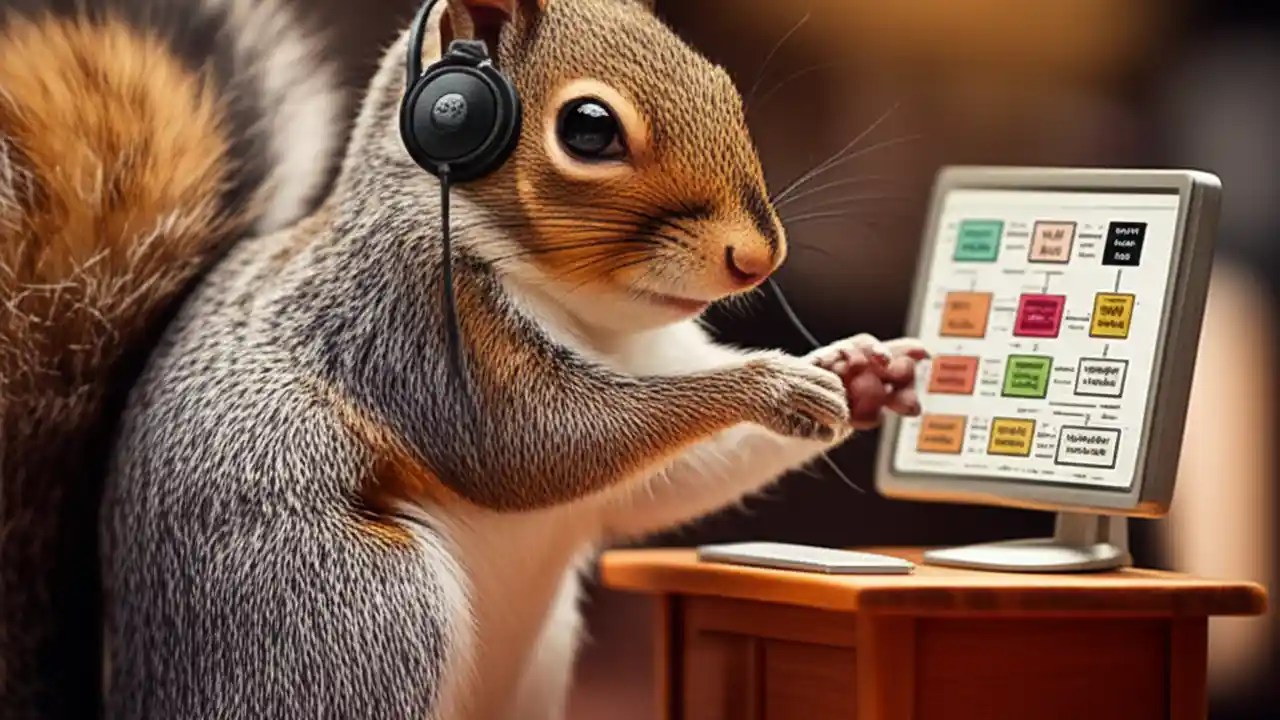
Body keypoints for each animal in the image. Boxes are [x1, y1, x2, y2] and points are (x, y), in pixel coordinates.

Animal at [3, 0, 925, 718]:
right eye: (588, 129)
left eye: (724, 86)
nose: (756, 258)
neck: (599, 322)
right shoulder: (405, 325)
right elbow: (534, 444)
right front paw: (771, 382)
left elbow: (665, 485)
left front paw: (866, 371)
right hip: (351, 612)